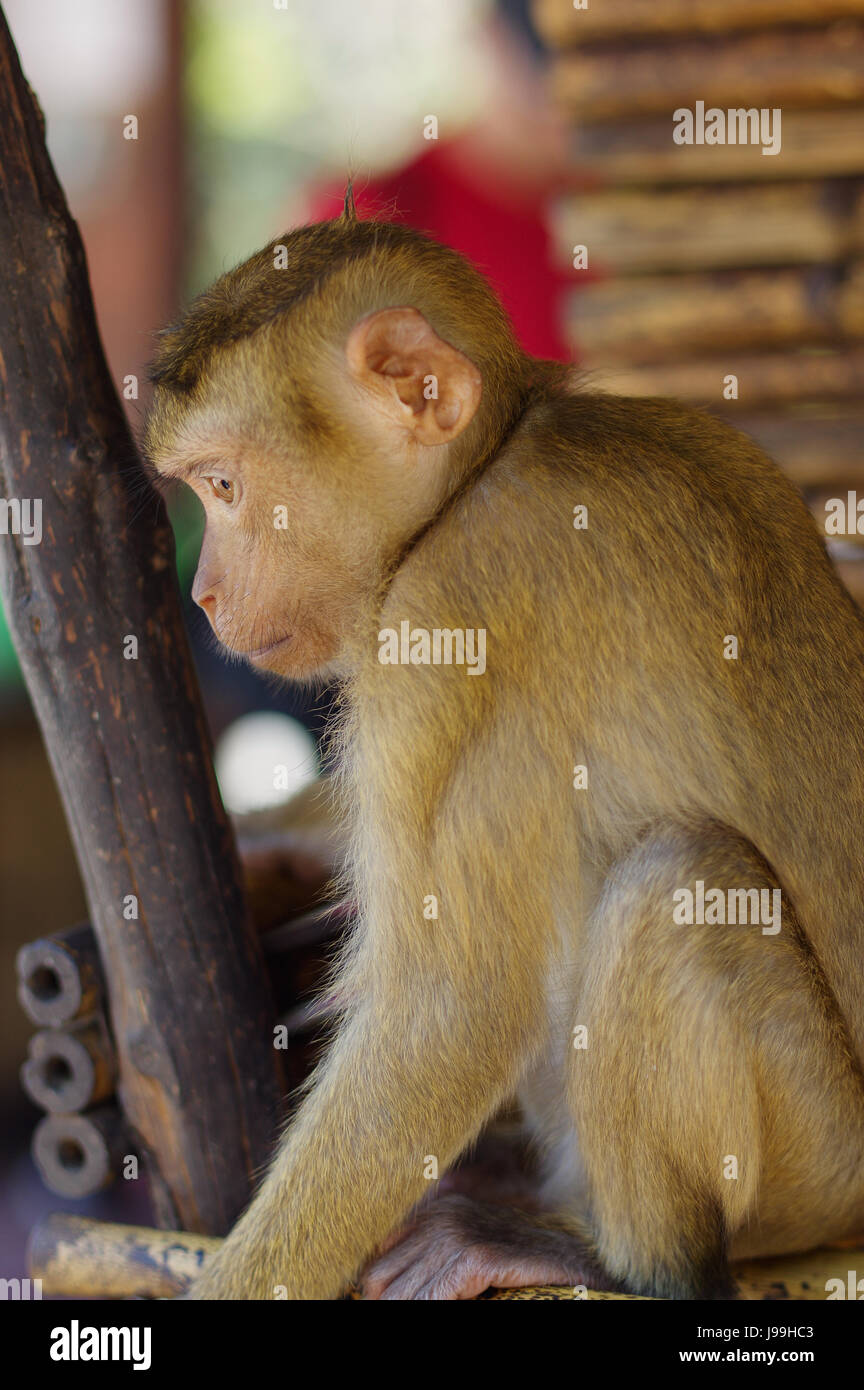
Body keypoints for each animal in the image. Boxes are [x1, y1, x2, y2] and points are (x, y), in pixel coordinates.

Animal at [144, 206, 864, 1300]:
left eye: (224, 486)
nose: (206, 593)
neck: (487, 464)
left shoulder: (451, 616)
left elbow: (450, 1013)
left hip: (821, 1172)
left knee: (676, 884)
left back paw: (627, 1266)